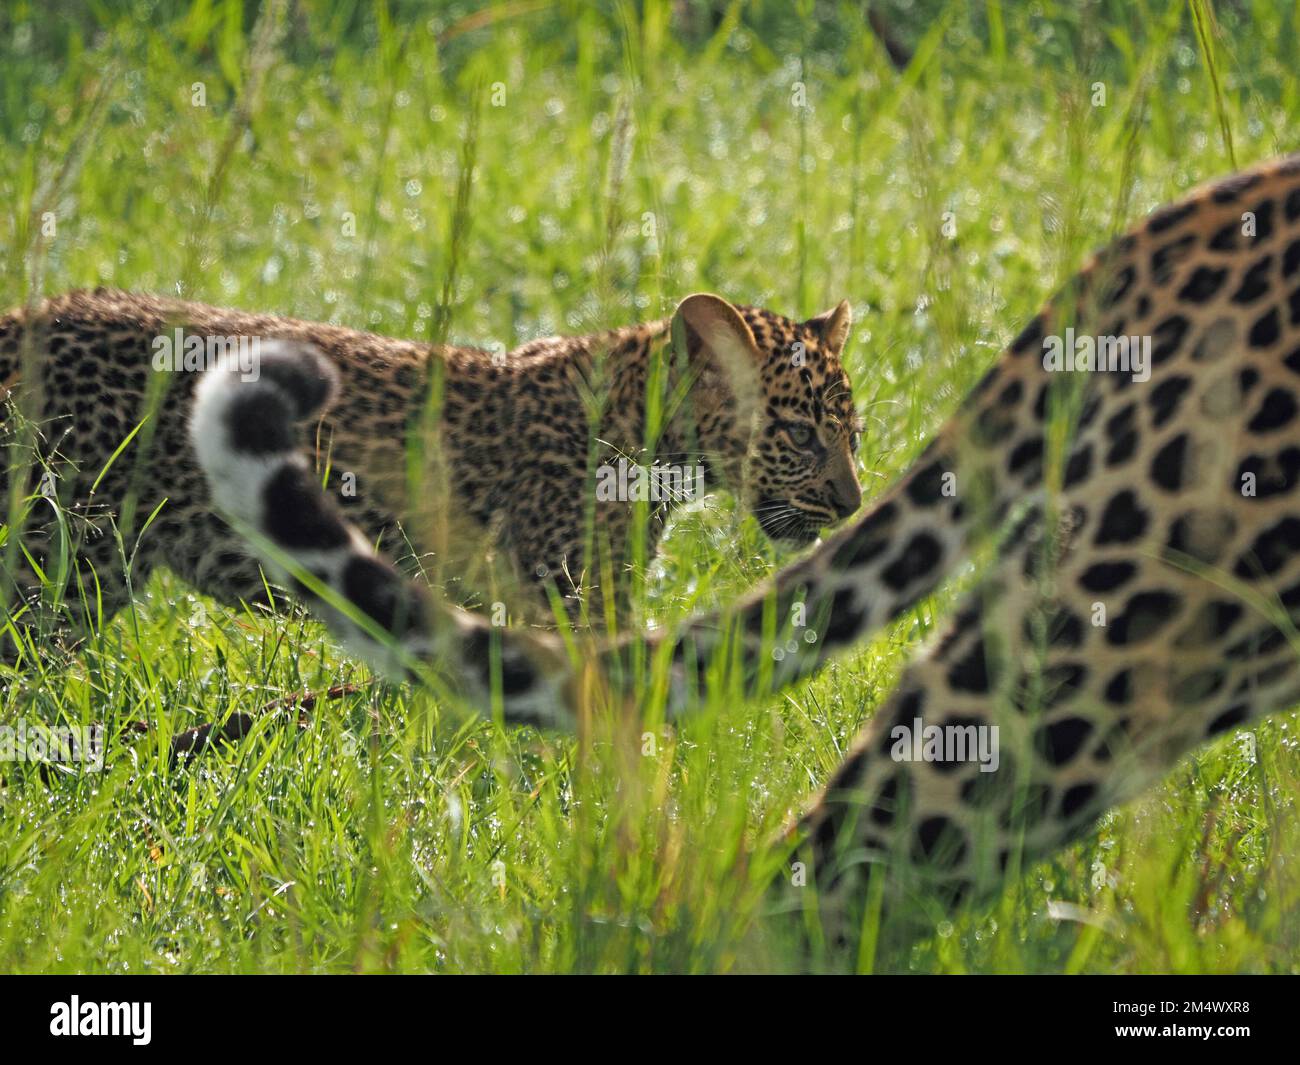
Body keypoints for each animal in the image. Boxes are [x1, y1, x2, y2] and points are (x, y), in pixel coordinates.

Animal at [185, 151, 1300, 949]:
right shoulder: (572, 595)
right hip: (1110, 638)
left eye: (854, 434)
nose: (851, 503)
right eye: (800, 436)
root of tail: (1147, 241)